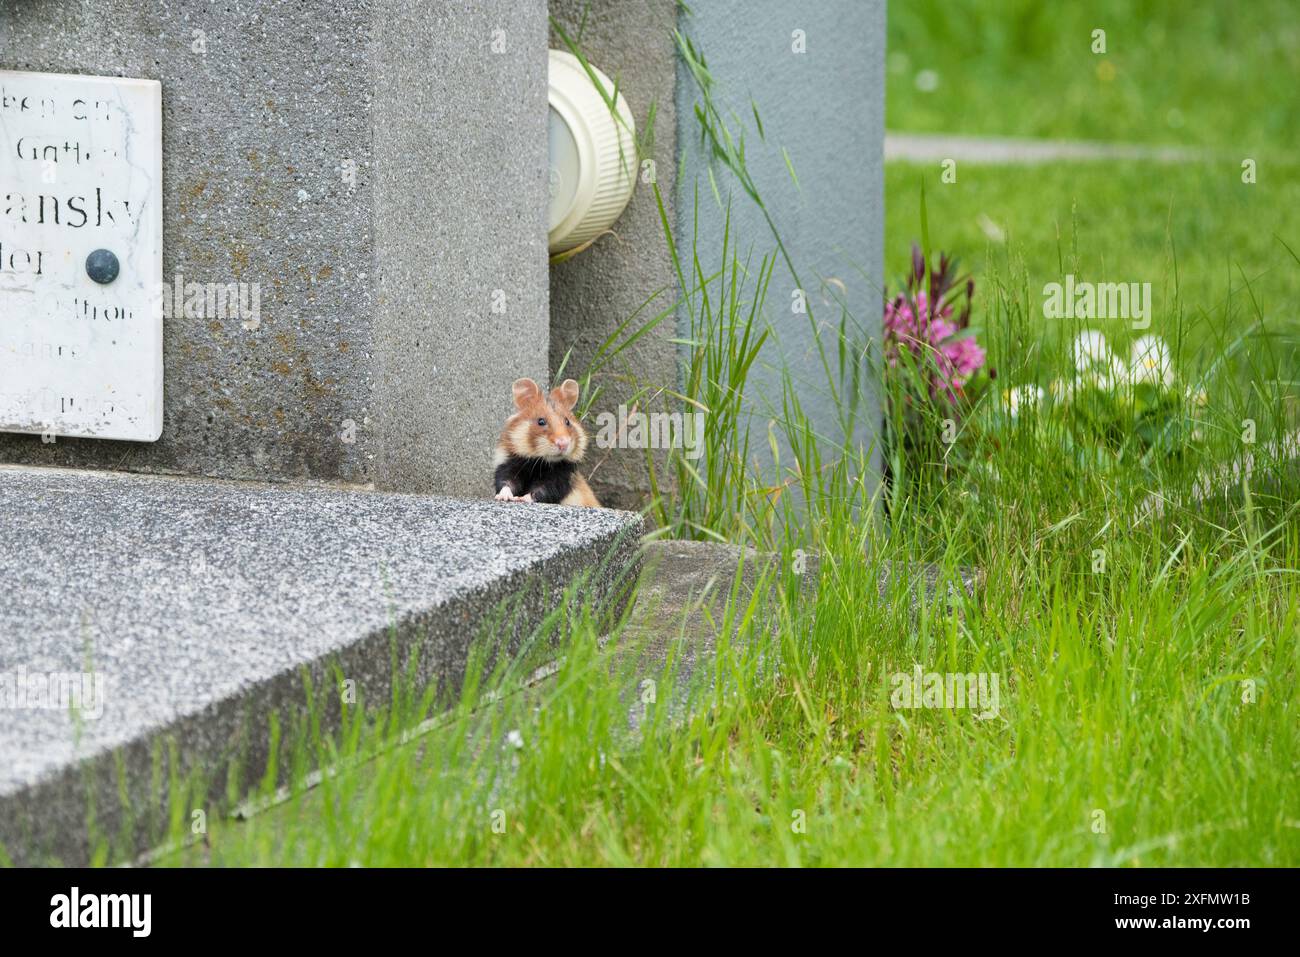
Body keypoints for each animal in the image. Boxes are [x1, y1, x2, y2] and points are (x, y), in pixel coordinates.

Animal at [493, 377, 601, 508]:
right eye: (541, 421)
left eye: (567, 422)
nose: (563, 443)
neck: (539, 463)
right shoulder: (508, 463)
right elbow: (506, 483)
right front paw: (503, 497)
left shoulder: (560, 478)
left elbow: (541, 491)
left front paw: (521, 499)